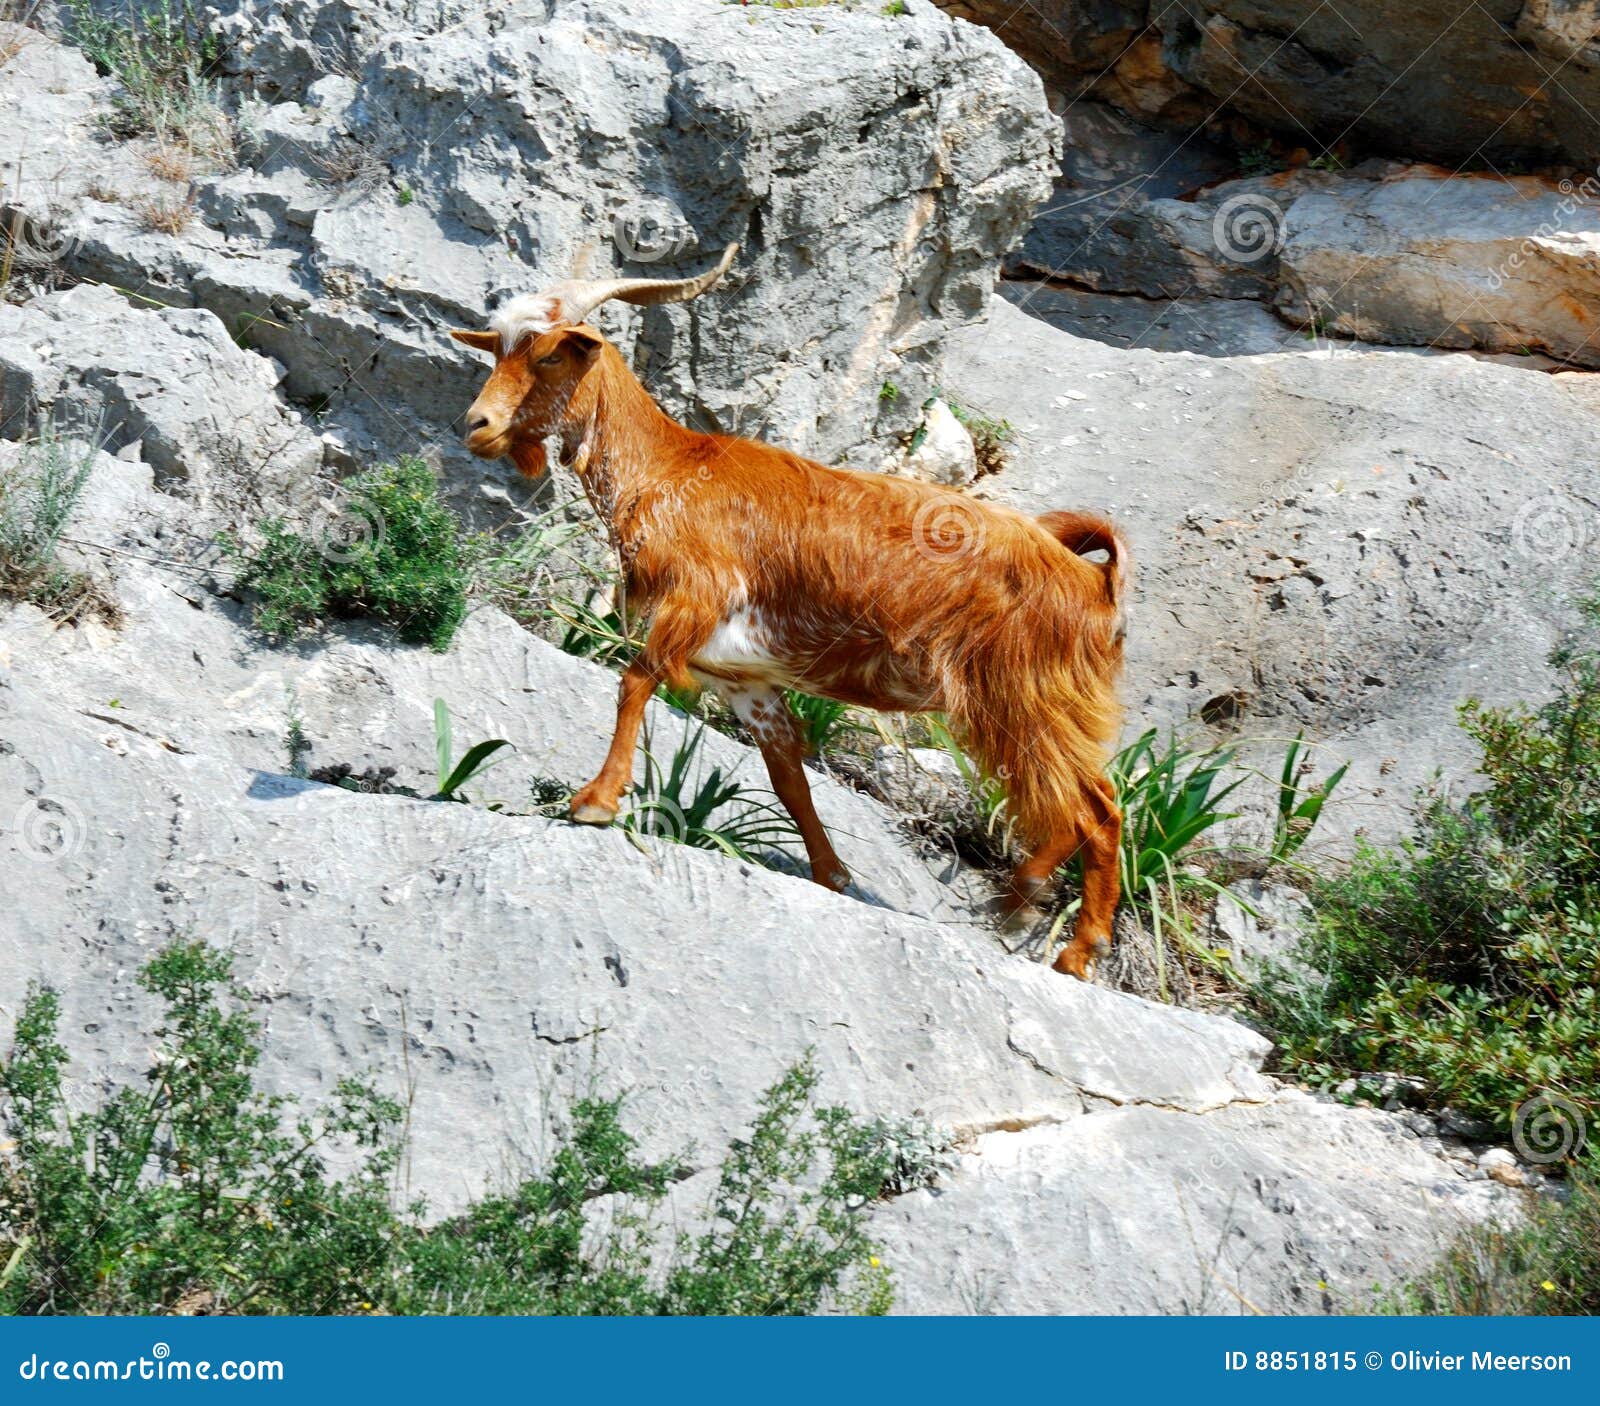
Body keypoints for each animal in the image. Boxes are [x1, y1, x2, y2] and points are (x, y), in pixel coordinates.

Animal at [450, 245, 1129, 978]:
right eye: (497, 351)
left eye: (550, 355)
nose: (476, 426)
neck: (668, 470)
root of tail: (1096, 583)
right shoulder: (746, 678)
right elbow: (788, 779)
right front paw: (833, 874)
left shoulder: (694, 603)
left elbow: (633, 681)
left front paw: (596, 802)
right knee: (1095, 801)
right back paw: (1041, 907)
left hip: (1023, 695)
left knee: (1094, 807)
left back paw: (1065, 935)